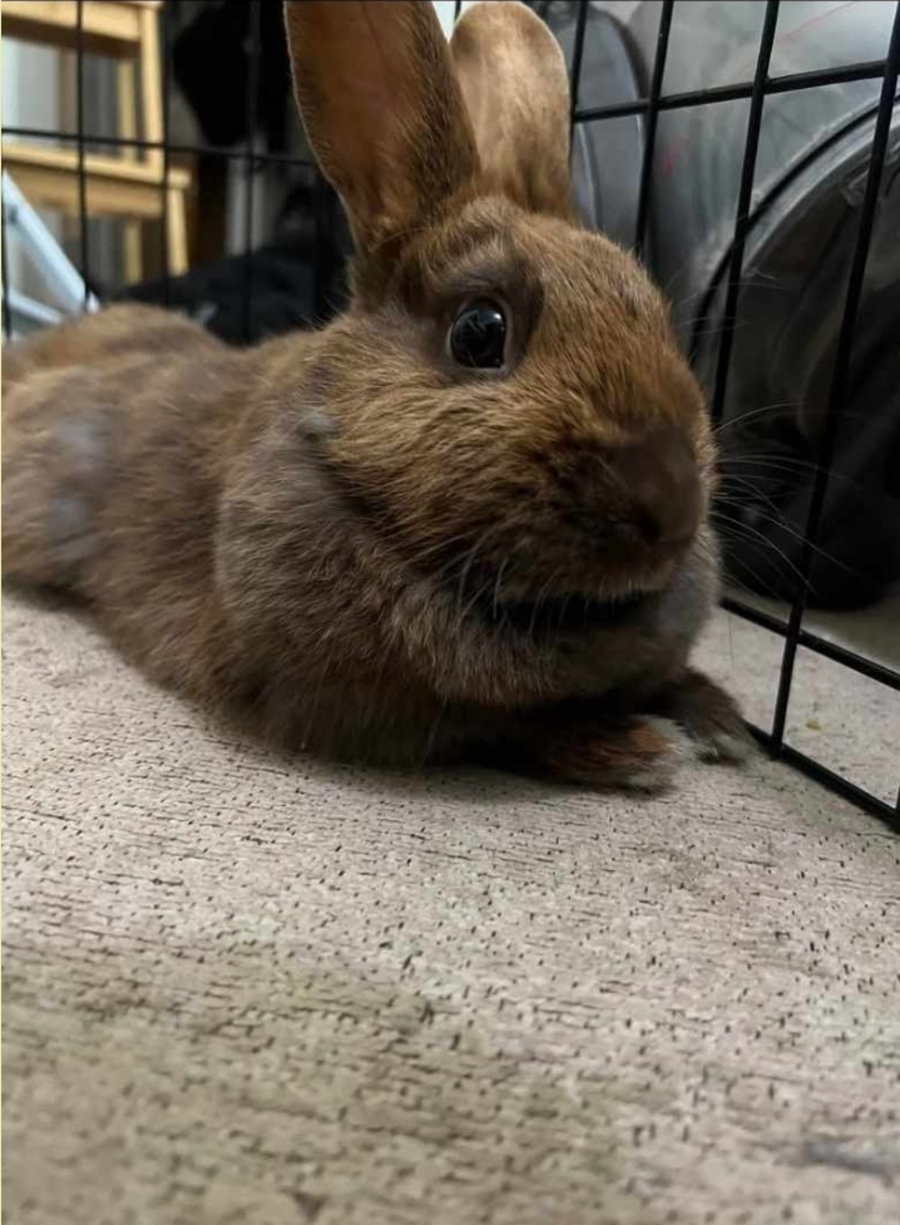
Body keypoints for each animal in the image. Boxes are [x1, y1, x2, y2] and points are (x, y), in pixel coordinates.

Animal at [2, 0, 751, 791]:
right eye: (479, 332)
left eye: (657, 314)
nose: (673, 508)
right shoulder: (379, 706)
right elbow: (512, 727)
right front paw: (637, 749)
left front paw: (720, 720)